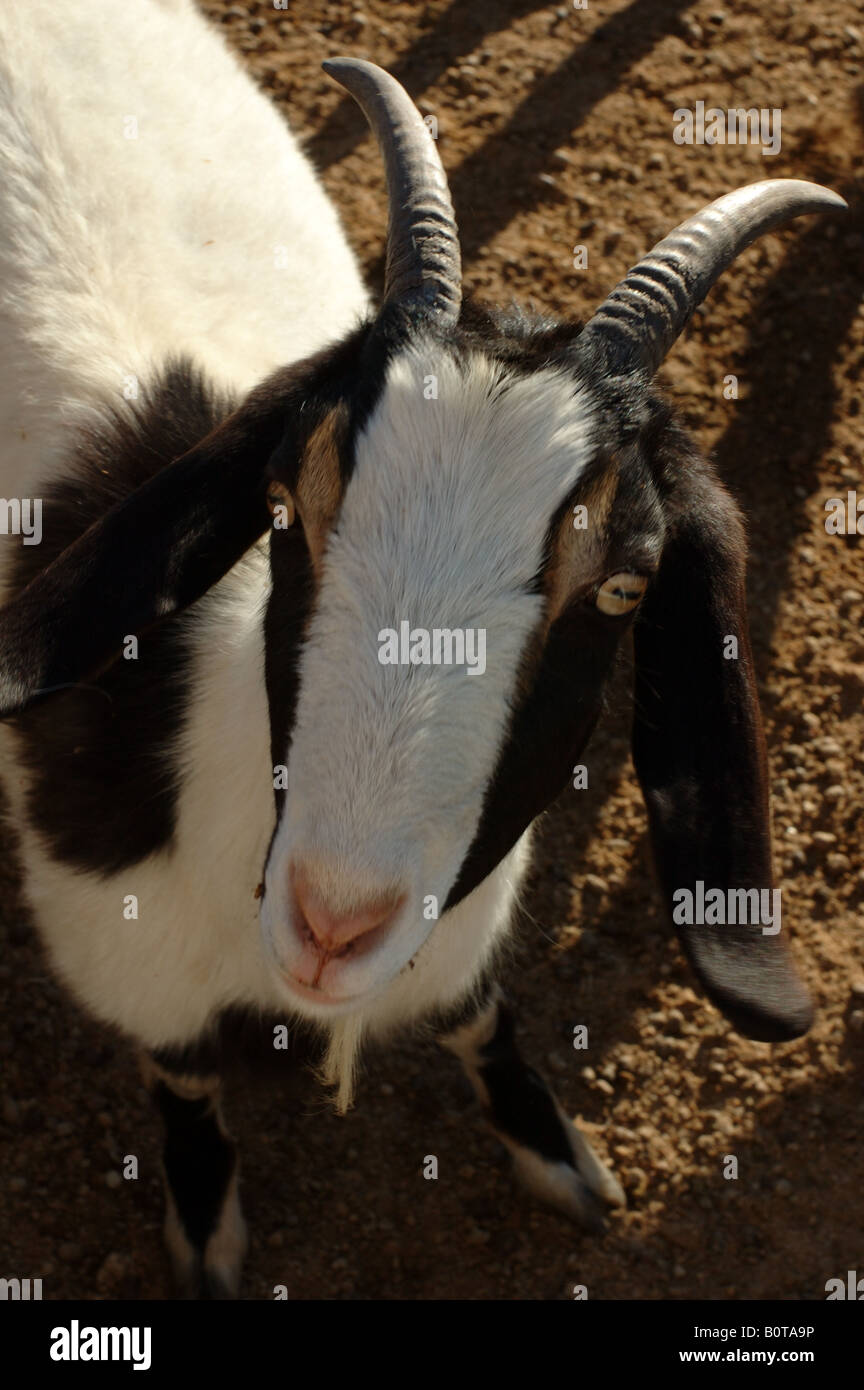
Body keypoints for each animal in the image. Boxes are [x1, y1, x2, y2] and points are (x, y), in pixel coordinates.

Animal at [0, 0, 846, 1298]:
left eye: (622, 587)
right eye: (287, 503)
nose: (336, 923)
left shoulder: (461, 927)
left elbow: (478, 1014)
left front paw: (563, 1160)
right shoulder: (128, 957)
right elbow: (186, 1082)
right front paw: (207, 1239)